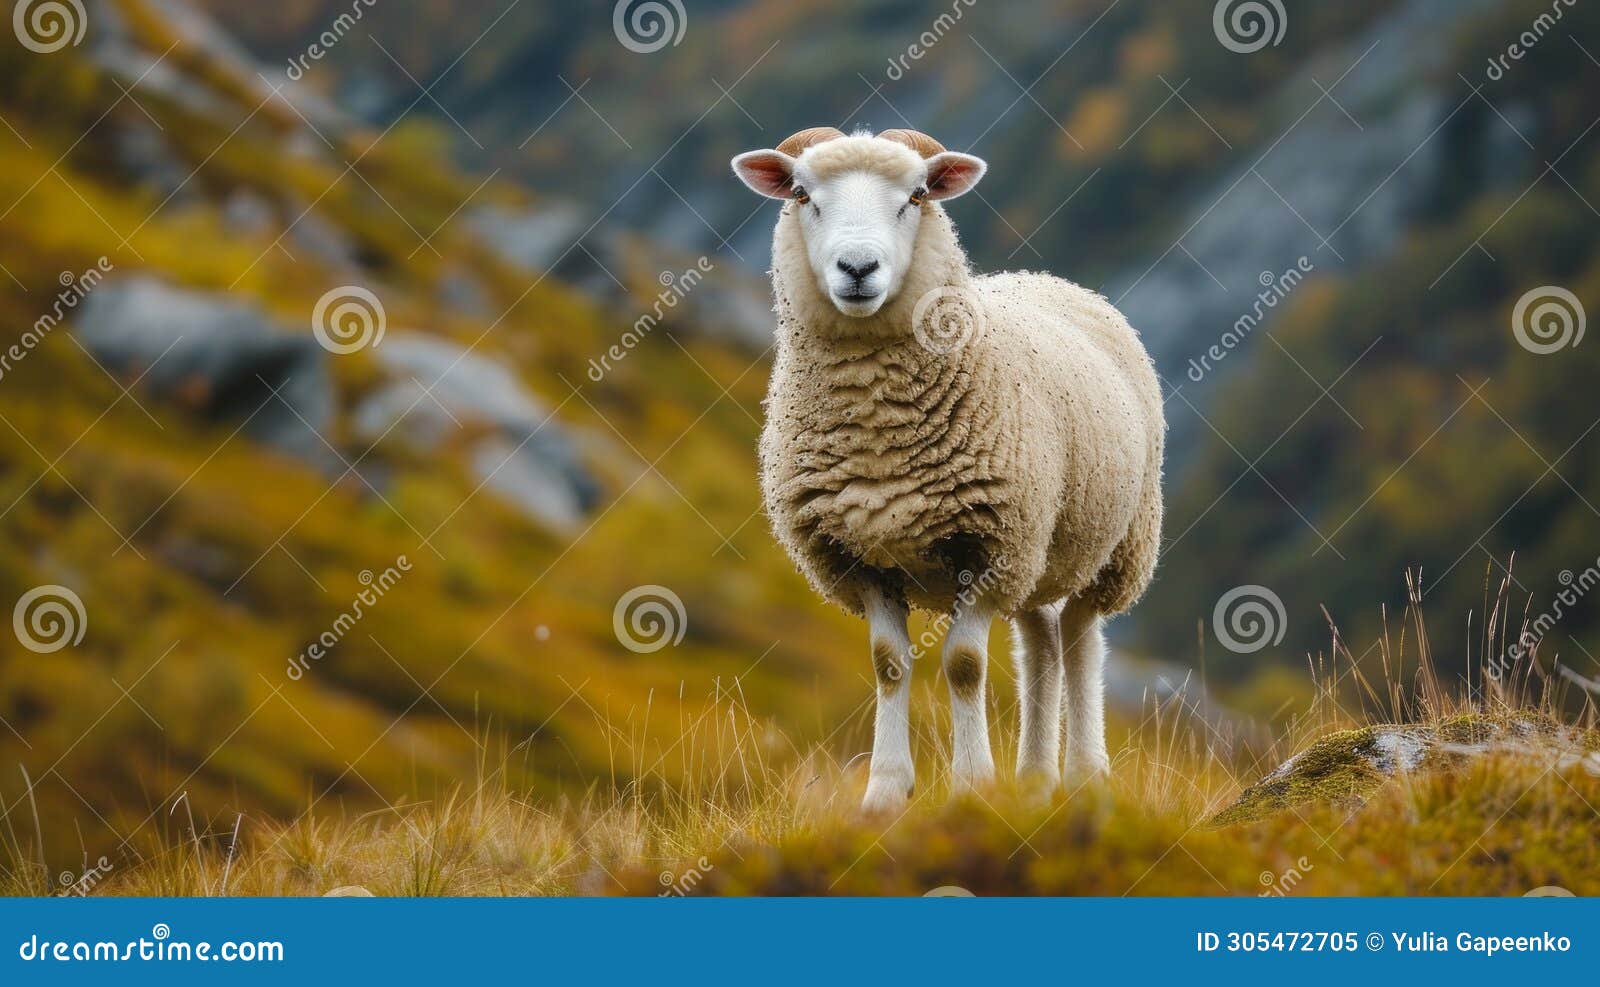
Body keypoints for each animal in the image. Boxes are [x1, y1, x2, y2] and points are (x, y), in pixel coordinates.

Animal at [732, 127, 1164, 812]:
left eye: (916, 196)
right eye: (802, 194)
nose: (858, 269)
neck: (877, 432)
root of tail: (1045, 278)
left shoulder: (986, 547)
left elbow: (964, 666)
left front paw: (971, 787)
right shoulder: (858, 555)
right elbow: (888, 663)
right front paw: (885, 793)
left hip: (1106, 543)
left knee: (1079, 640)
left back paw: (1084, 778)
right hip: (1036, 549)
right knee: (1040, 644)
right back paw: (1034, 780)